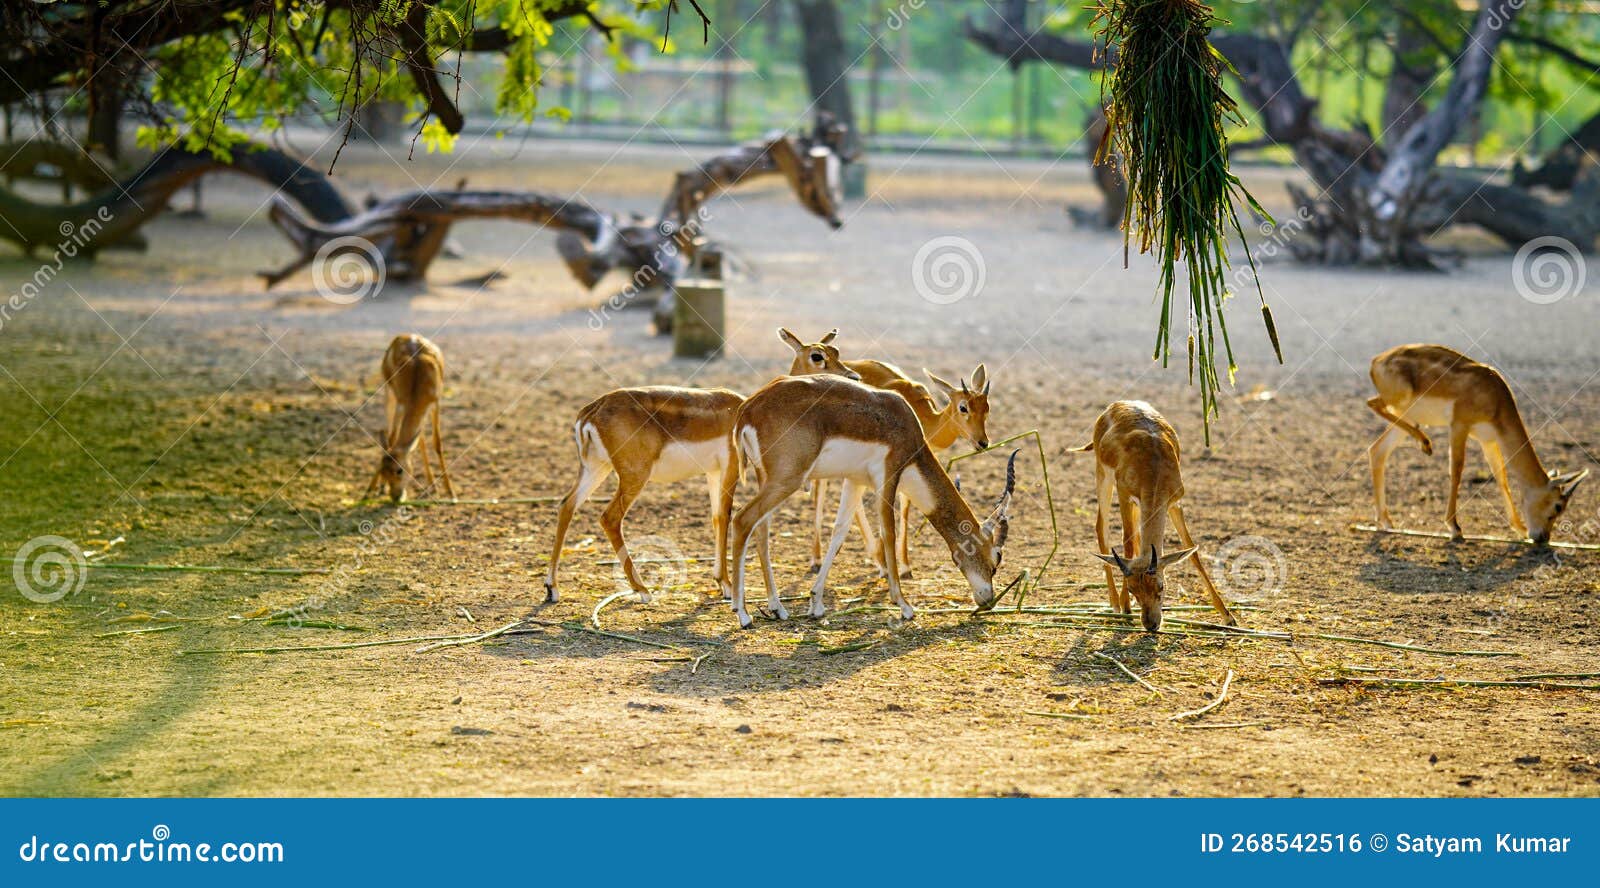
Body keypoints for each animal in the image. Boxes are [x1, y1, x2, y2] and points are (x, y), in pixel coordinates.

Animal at [364, 334, 456, 504]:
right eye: (382, 470)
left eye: (399, 470)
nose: (395, 497)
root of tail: (405, 335)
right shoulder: (402, 405)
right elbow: (393, 439)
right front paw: (377, 487)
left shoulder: (435, 404)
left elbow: (437, 443)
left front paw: (451, 492)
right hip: (389, 393)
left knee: (420, 439)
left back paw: (433, 485)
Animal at [543, 329, 857, 603]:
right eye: (817, 356)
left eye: (836, 352)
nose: (852, 376)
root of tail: (592, 410)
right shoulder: (731, 468)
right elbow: (726, 516)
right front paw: (728, 586)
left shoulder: (713, 472)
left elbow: (716, 518)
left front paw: (720, 582)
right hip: (633, 475)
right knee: (609, 517)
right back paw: (643, 590)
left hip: (596, 468)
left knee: (566, 505)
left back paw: (552, 588)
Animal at [807, 362, 992, 578]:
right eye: (964, 407)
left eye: (986, 408)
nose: (983, 442)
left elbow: (905, 508)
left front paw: (905, 566)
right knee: (820, 487)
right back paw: (817, 560)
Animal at [1069, 400, 1234, 632]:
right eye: (1132, 589)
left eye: (1161, 586)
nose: (1151, 624)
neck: (1153, 464)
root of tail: (1117, 404)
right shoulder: (1125, 494)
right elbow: (1127, 544)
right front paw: (1126, 606)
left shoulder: (1173, 502)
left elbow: (1191, 550)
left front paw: (1228, 616)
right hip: (1104, 478)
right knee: (1101, 528)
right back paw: (1115, 604)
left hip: (1138, 505)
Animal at [1367, 343, 1588, 545]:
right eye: (1558, 506)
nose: (1542, 538)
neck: (1494, 396)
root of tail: (1376, 361)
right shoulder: (1459, 425)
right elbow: (1456, 470)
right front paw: (1455, 528)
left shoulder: (1488, 440)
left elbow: (1501, 477)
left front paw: (1520, 529)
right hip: (1402, 402)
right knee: (1372, 403)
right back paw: (1425, 444)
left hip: (1409, 416)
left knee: (1377, 450)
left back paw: (1386, 521)